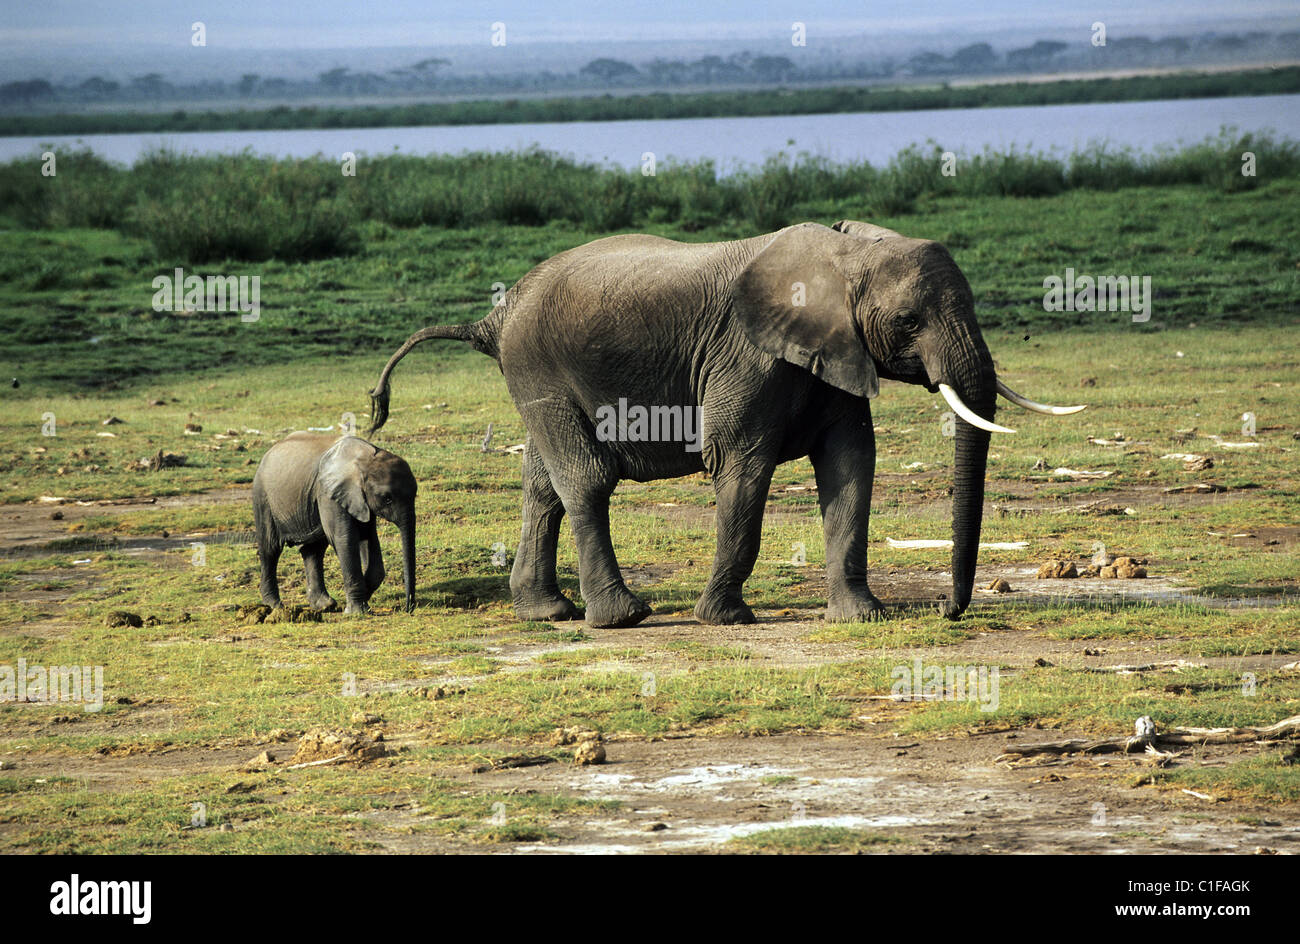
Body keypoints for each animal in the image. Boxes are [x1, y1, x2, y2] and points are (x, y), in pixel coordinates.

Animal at [252, 433, 418, 615]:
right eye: (387, 499)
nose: (408, 609)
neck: (365, 458)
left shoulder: (359, 498)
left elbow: (368, 537)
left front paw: (364, 594)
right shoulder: (328, 493)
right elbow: (345, 539)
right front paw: (358, 611)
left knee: (313, 550)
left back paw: (325, 606)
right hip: (263, 498)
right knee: (270, 549)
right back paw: (274, 606)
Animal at [366, 220, 1084, 627]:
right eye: (910, 321)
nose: (946, 610)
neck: (844, 255)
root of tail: (496, 314)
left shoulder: (832, 354)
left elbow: (851, 464)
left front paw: (864, 619)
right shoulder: (748, 355)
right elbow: (741, 462)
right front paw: (728, 620)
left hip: (539, 379)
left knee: (544, 487)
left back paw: (548, 613)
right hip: (538, 368)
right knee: (587, 480)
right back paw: (621, 618)